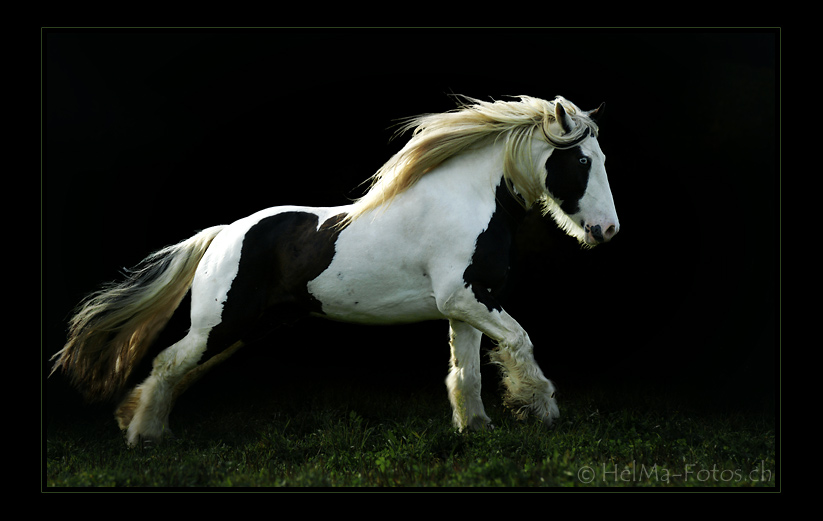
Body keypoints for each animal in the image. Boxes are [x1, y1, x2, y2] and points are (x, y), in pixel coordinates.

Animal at [50, 95, 619, 447]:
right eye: (583, 161)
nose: (608, 230)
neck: (466, 202)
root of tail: (223, 233)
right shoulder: (464, 299)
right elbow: (520, 341)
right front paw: (540, 410)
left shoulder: (465, 308)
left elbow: (467, 372)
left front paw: (476, 429)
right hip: (221, 324)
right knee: (169, 364)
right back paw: (144, 437)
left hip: (241, 329)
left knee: (177, 371)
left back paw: (145, 426)